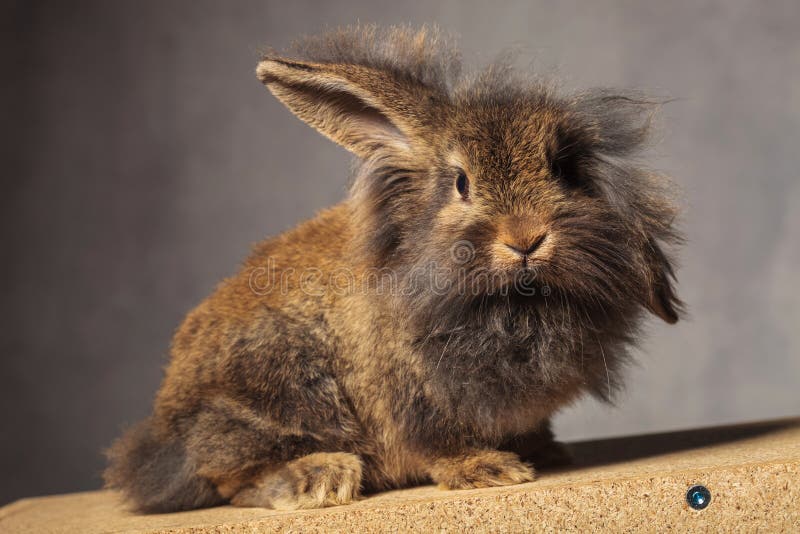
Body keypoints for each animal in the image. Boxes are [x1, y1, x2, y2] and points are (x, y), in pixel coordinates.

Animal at [104, 25, 682, 513]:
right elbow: (438, 442)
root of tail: (161, 438)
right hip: (279, 396)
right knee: (230, 480)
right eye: (461, 183)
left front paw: (542, 451)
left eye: (563, 169)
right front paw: (489, 470)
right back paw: (320, 478)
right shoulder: (413, 394)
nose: (526, 239)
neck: (516, 302)